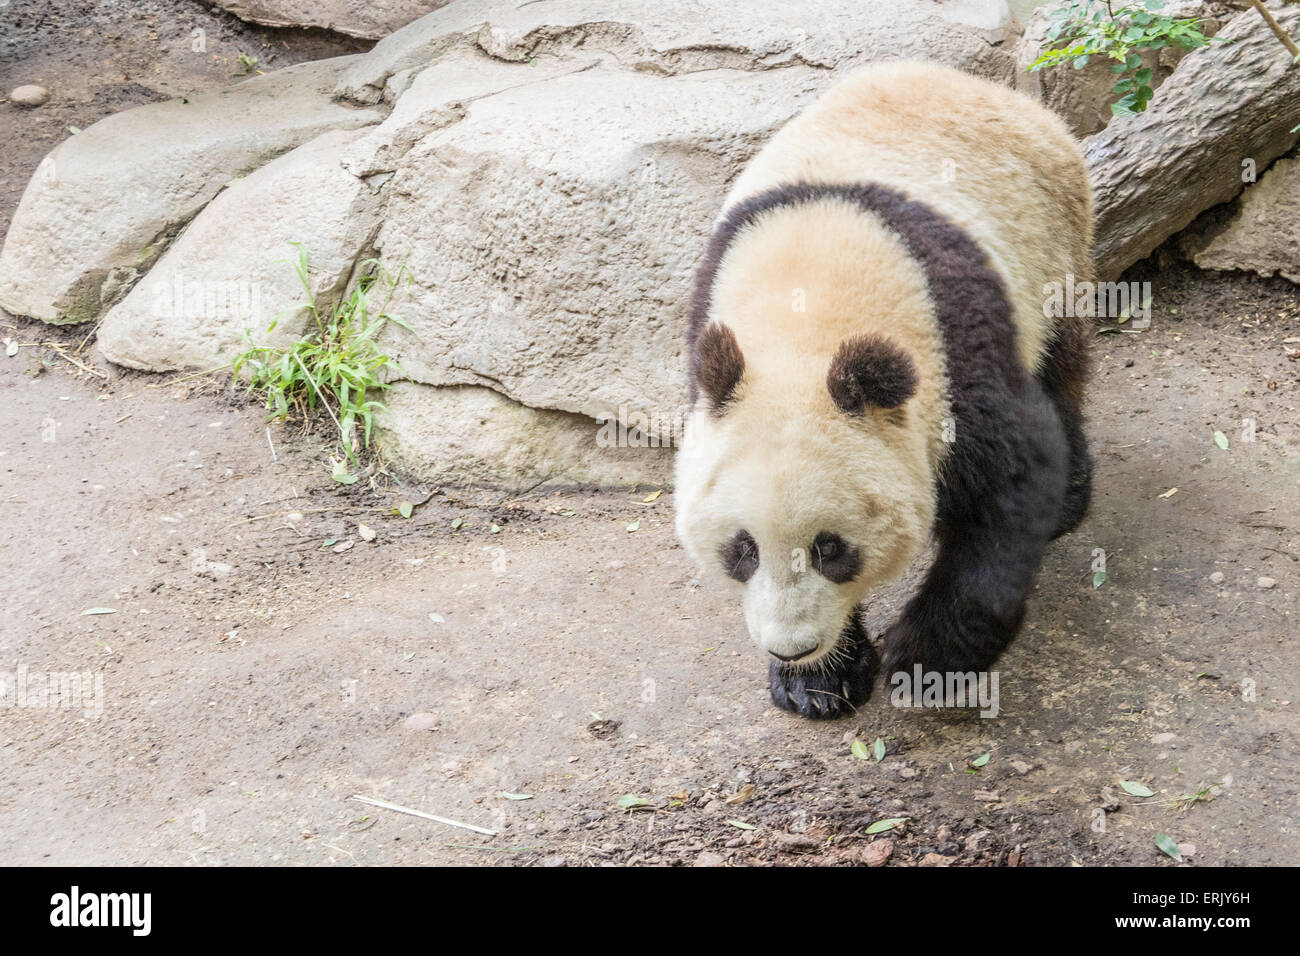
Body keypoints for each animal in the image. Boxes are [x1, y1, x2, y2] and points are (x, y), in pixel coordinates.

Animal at [674, 61, 1094, 718]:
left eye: (832, 548)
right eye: (742, 550)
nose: (793, 647)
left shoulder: (957, 345)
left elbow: (1014, 480)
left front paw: (928, 660)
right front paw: (819, 682)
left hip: (1055, 246)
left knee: (1061, 367)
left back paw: (1071, 498)